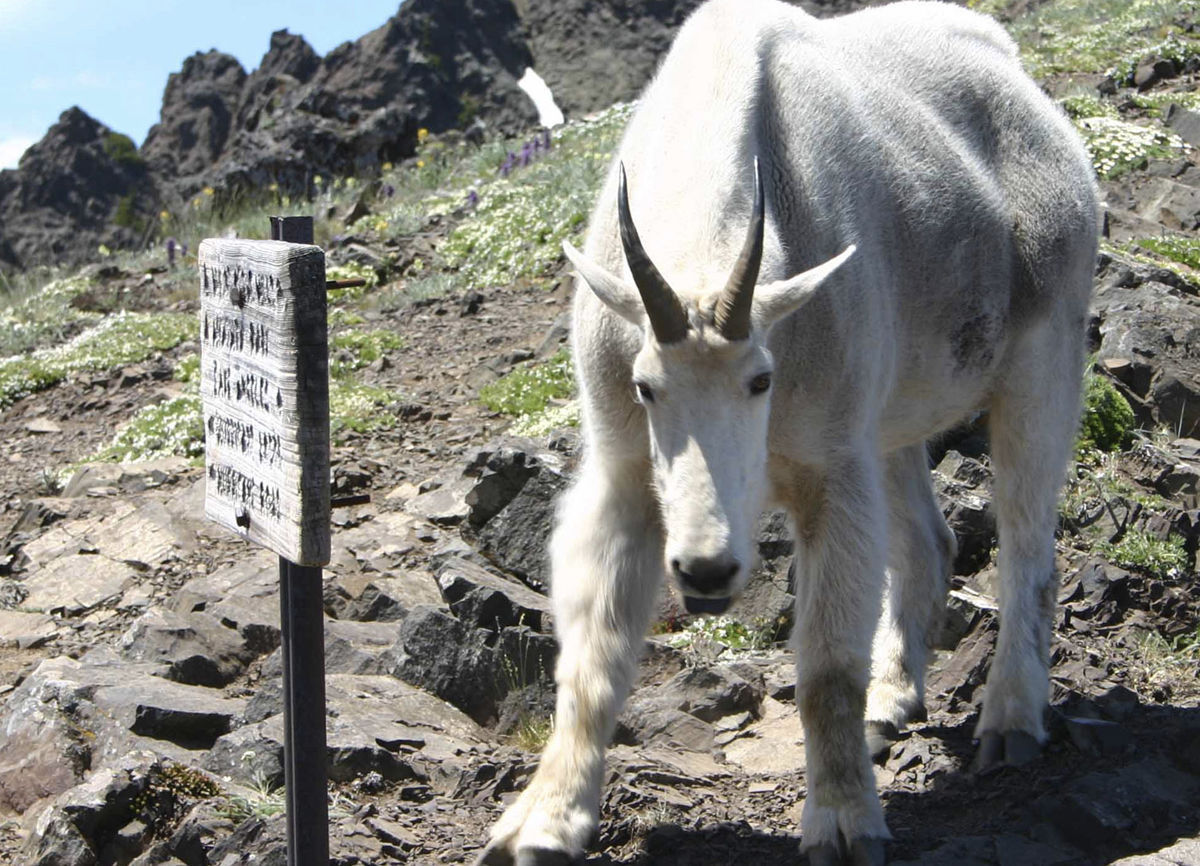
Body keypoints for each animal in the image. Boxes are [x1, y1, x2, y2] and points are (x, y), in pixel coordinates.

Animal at [478, 0, 1099, 863]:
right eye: (645, 386)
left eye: (761, 380)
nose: (706, 570)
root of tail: (1020, 80)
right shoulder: (625, 469)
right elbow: (594, 654)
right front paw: (544, 823)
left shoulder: (830, 467)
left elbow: (826, 665)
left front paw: (842, 823)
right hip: (892, 413)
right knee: (929, 540)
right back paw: (892, 701)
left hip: (1047, 348)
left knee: (1027, 545)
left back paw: (1011, 720)